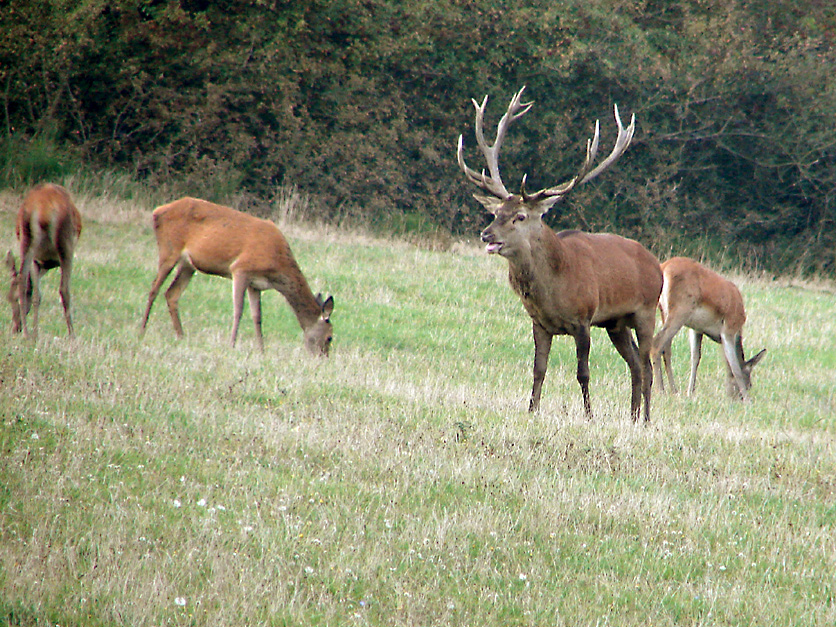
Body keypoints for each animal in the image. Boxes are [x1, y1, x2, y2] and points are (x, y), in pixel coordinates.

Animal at [6, 183, 82, 338]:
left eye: (11, 298)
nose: (15, 328)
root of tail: (43, 211)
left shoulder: (38, 261)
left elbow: (37, 296)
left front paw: (36, 332)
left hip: (26, 241)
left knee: (23, 281)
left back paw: (28, 334)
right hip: (65, 243)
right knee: (64, 290)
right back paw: (72, 335)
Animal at [140, 199, 334, 356]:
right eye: (330, 337)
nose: (322, 357)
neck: (276, 262)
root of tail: (157, 210)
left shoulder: (256, 284)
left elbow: (257, 316)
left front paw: (261, 350)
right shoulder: (240, 269)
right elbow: (238, 310)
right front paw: (232, 345)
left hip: (188, 264)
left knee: (171, 293)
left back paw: (181, 336)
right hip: (169, 249)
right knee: (154, 288)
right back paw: (142, 330)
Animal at [458, 87, 660, 422]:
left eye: (520, 217)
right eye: (497, 212)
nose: (487, 235)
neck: (553, 287)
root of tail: (658, 266)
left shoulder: (583, 318)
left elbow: (583, 372)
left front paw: (589, 415)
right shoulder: (539, 323)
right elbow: (538, 370)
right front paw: (531, 410)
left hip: (646, 311)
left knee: (647, 364)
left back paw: (645, 419)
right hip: (616, 323)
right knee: (634, 363)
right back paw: (632, 417)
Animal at [648, 256, 768, 400]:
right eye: (750, 384)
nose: (737, 397)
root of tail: (664, 268)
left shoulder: (696, 329)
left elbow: (695, 358)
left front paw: (690, 392)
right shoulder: (729, 329)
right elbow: (735, 368)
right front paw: (747, 400)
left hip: (664, 312)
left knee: (666, 349)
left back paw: (674, 390)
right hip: (680, 311)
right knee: (657, 343)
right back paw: (661, 391)